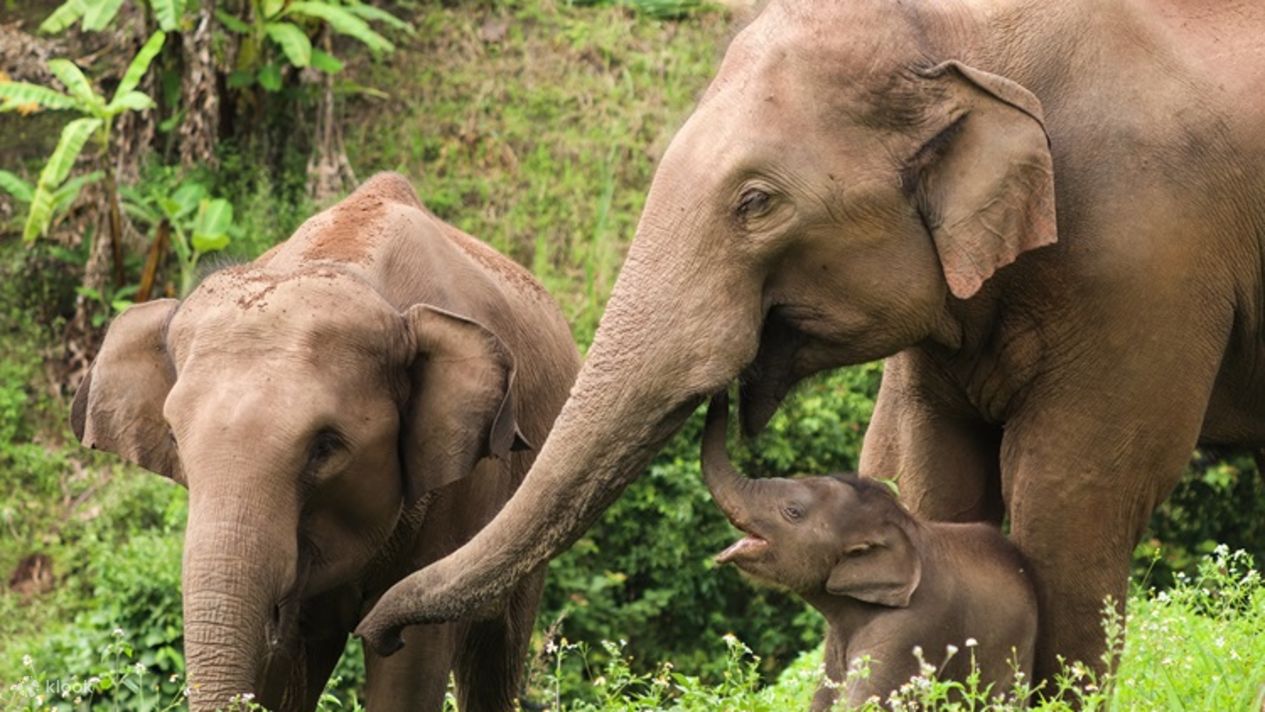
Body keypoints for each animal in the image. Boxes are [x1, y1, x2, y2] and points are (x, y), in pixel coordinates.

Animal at [71, 173, 580, 711]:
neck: (345, 263)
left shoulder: (463, 490)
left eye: (325, 447)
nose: (376, 631)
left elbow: (410, 668)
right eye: (174, 438)